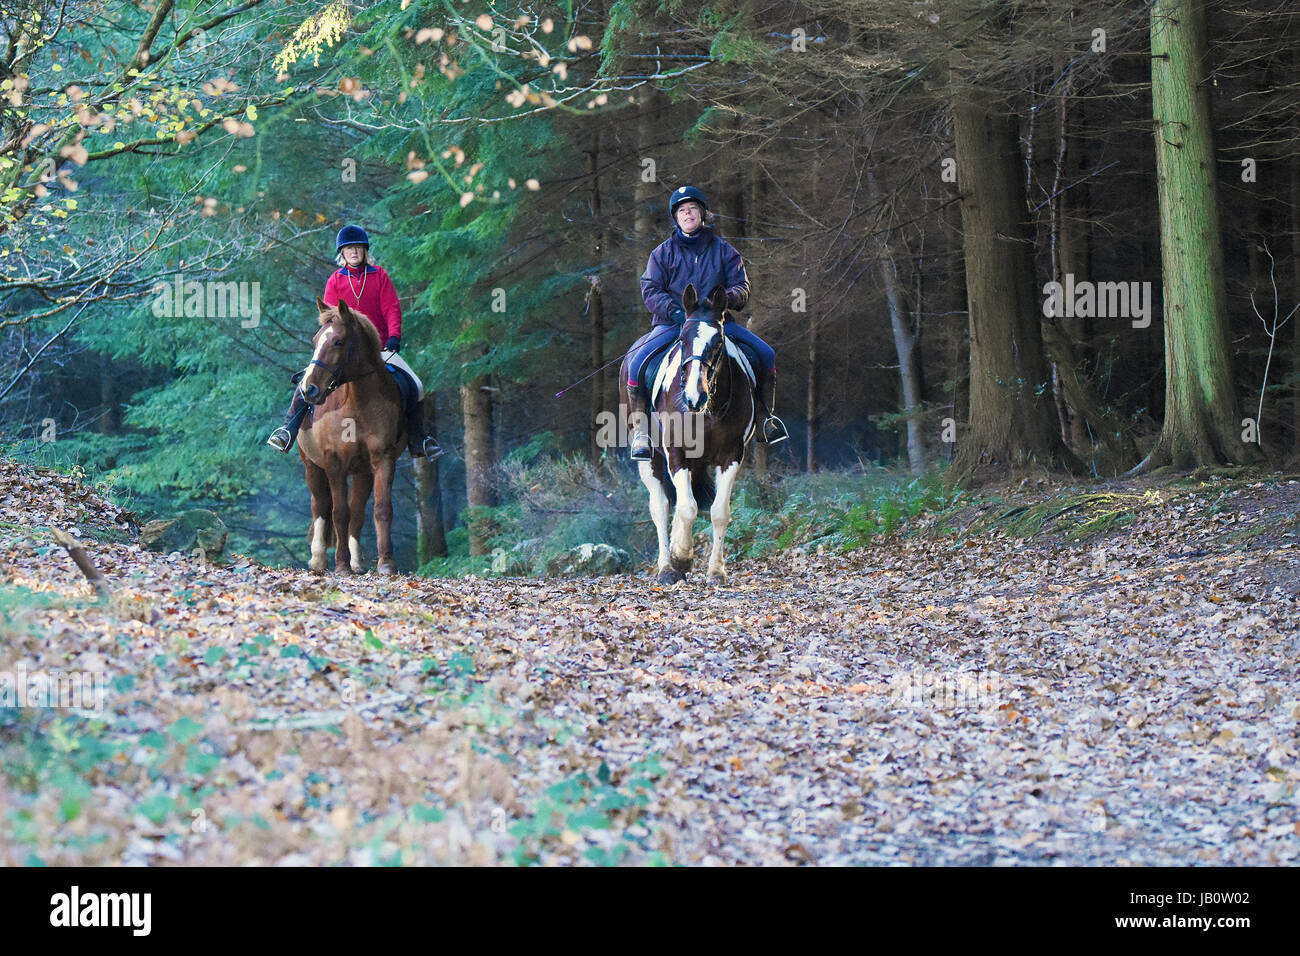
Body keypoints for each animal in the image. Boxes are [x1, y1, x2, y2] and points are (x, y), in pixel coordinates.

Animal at [295, 298, 407, 575]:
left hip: (362, 472)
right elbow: (339, 513)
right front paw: (341, 564)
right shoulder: (334, 463)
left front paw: (386, 563)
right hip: (312, 466)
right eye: (315, 340)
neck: (359, 403)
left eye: (338, 342)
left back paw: (356, 562)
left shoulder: (382, 459)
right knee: (321, 505)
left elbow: (381, 509)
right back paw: (319, 559)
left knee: (357, 511)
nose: (308, 389)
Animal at [627, 283, 755, 585]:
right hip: (650, 459)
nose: (694, 397)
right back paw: (666, 567)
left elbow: (719, 512)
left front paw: (716, 571)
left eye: (718, 342)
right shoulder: (676, 451)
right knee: (661, 506)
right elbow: (686, 507)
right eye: (682, 339)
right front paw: (681, 556)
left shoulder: (731, 454)